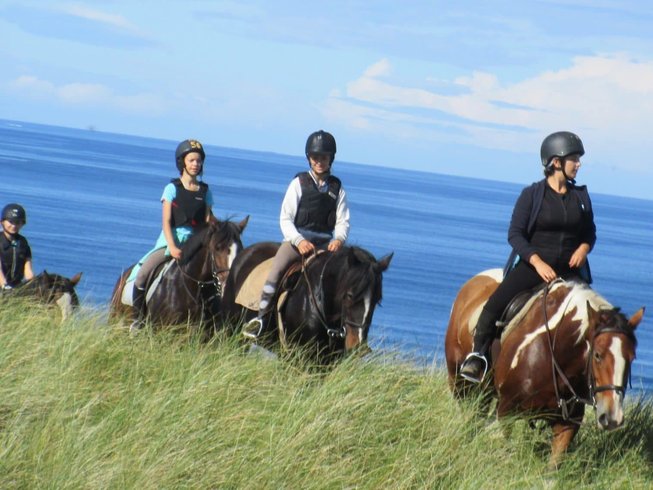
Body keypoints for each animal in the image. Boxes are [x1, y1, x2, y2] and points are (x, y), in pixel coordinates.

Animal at [445, 268, 645, 468]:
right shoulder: (506, 411)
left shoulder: (568, 423)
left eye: (632, 357)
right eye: (597, 354)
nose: (612, 418)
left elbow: (553, 466)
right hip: (459, 382)